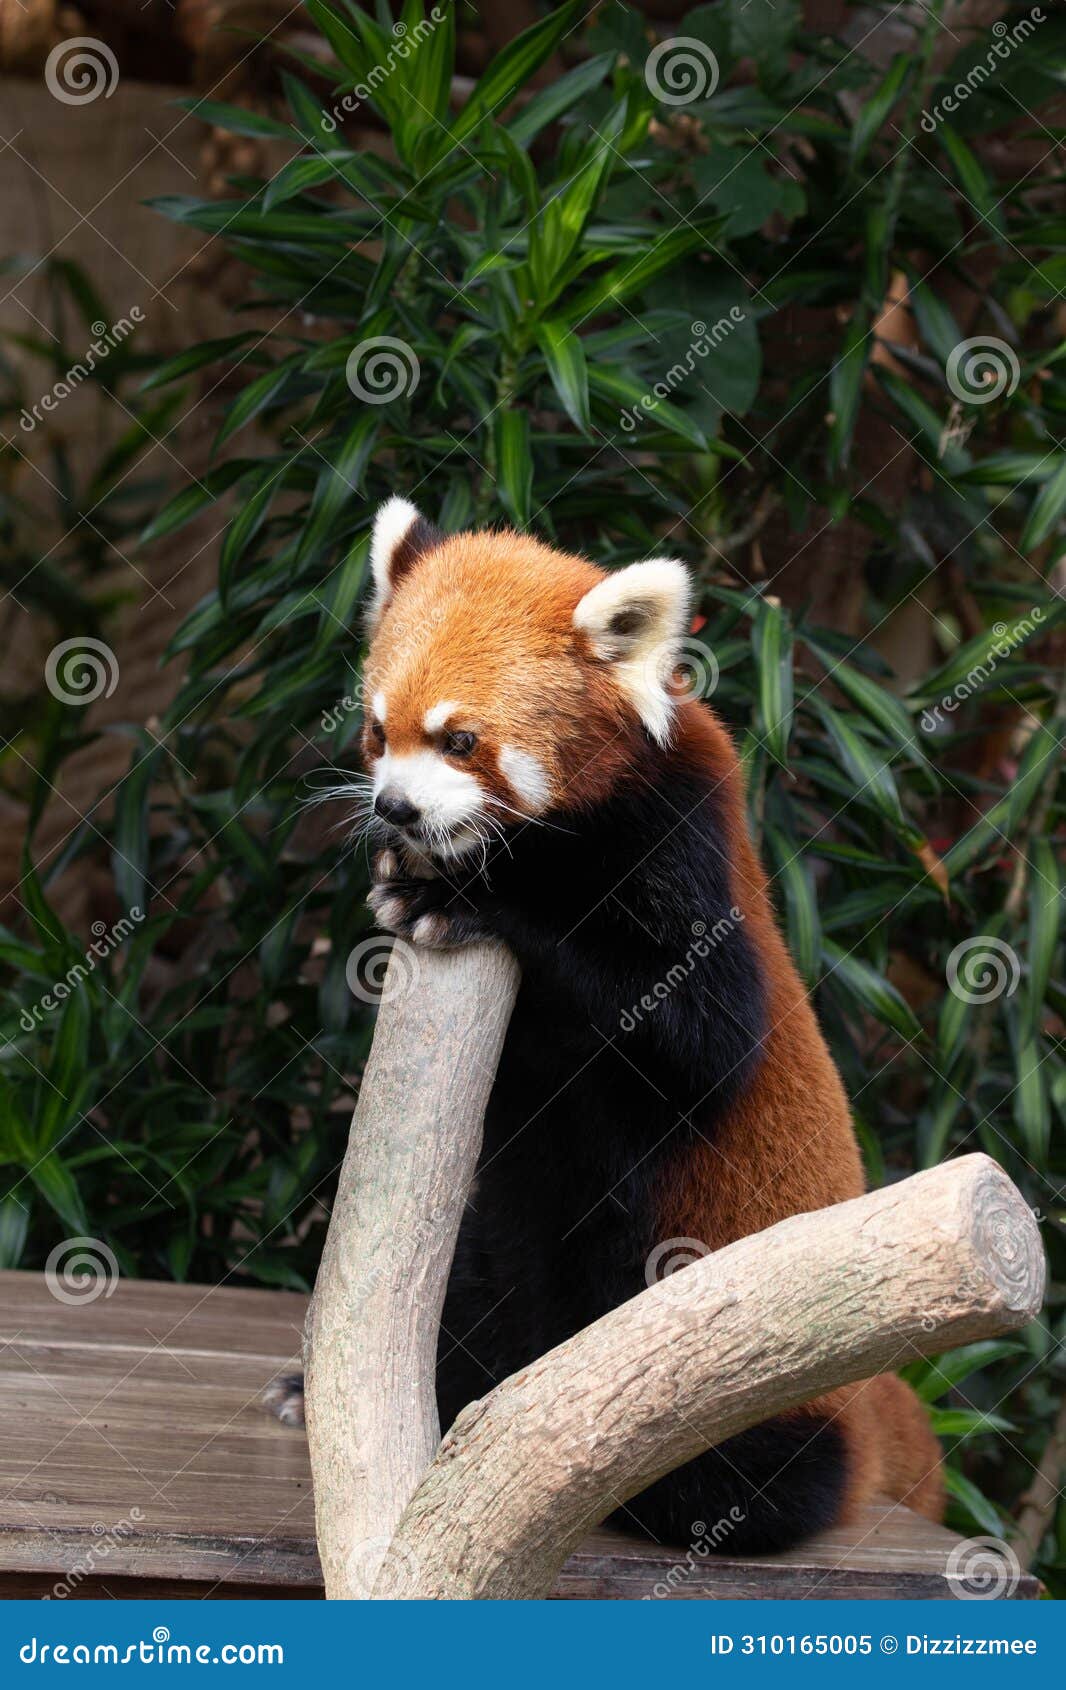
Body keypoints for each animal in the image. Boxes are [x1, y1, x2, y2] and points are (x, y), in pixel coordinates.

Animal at [273, 496, 943, 1554]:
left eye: (460, 741)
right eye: (379, 732)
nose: (397, 809)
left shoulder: (681, 845)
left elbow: (698, 1038)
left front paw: (471, 896)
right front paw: (400, 879)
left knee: (760, 1468)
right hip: (504, 1243)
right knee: (487, 1292)